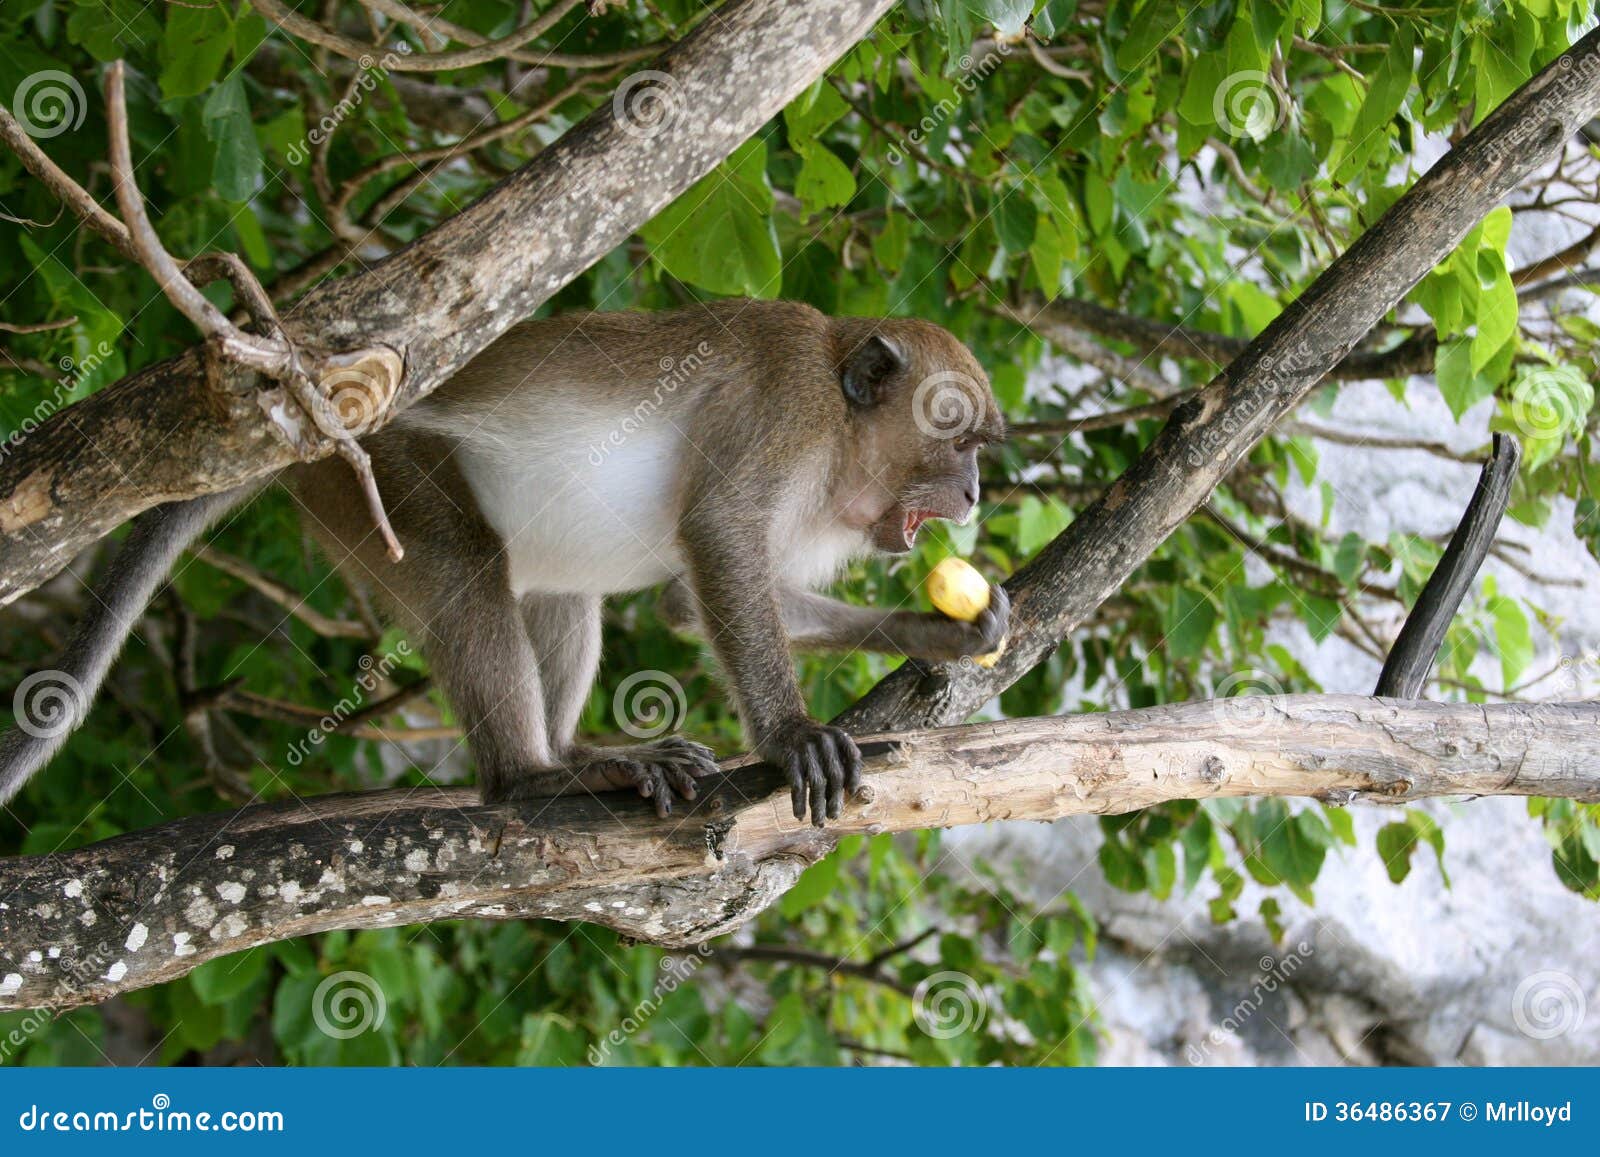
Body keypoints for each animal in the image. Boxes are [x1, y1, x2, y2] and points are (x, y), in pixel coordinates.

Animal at [0, 300, 1008, 826]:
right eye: (960, 436)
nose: (974, 492)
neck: (840, 426)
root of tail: (303, 428)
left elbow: (688, 602)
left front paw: (940, 634)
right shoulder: (783, 406)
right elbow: (720, 536)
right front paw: (791, 733)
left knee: (560, 586)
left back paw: (571, 750)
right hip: (369, 476)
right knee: (466, 562)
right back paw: (531, 774)